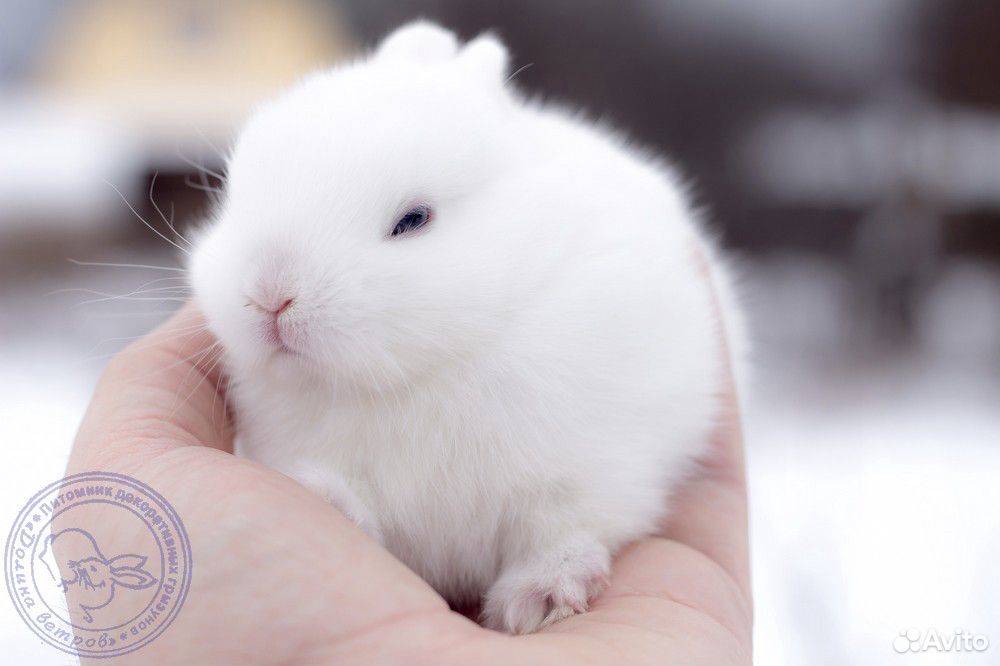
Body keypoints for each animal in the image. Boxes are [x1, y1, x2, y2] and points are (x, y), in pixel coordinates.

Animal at [188, 20, 746, 634]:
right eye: (234, 194)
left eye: (413, 220)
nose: (270, 295)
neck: (420, 374)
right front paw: (319, 498)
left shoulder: (591, 476)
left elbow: (566, 531)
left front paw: (541, 597)